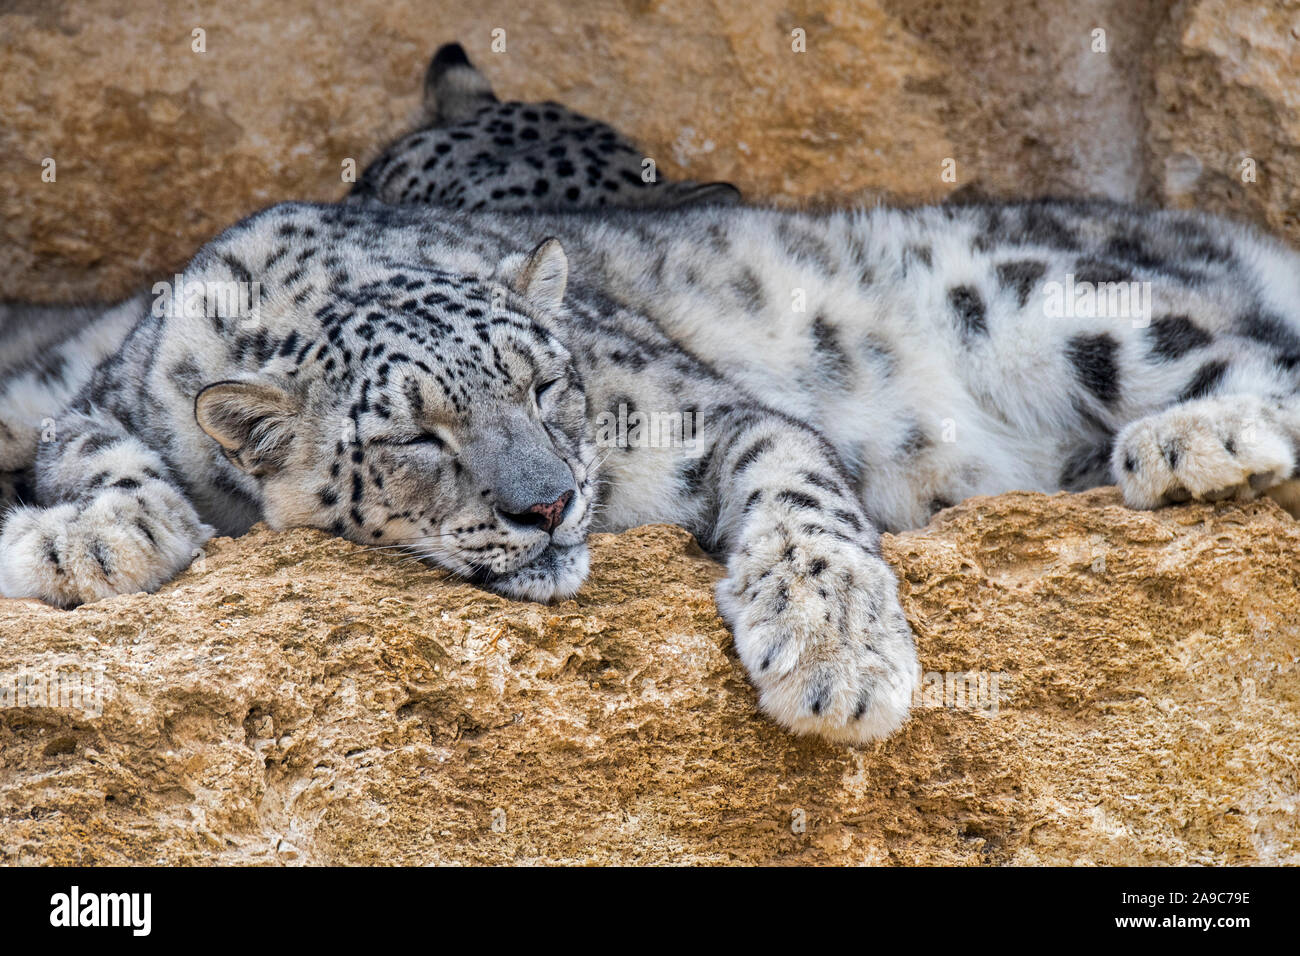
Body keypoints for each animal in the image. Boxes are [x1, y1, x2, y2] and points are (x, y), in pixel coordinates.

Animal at [5, 196, 1294, 749]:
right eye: (418, 439)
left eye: (546, 383)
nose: (548, 501)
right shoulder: (107, 397)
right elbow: (87, 441)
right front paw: (95, 538)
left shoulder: (707, 412)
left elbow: (801, 493)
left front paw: (834, 656)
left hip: (1060, 301)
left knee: (1254, 347)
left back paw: (1193, 443)